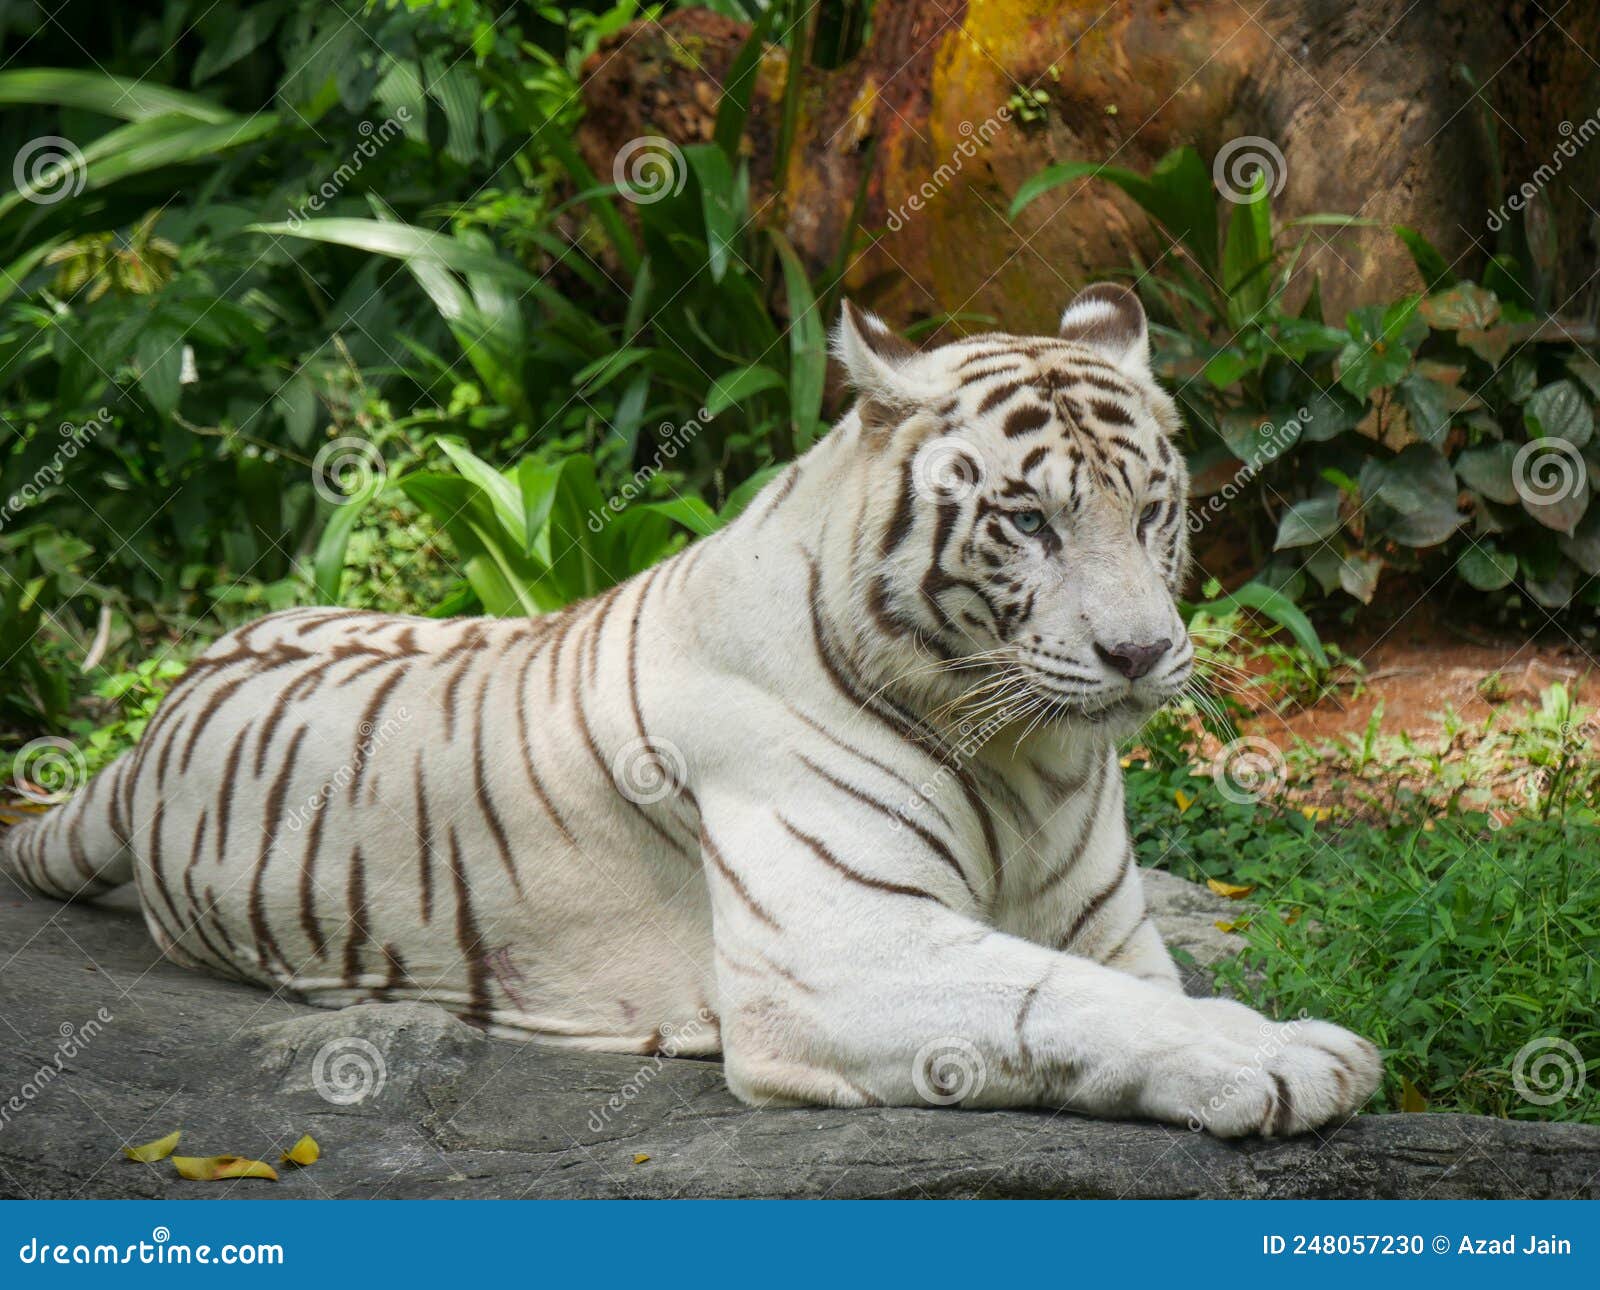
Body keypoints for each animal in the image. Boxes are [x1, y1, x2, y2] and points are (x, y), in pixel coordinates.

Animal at [2, 285, 1381, 1137]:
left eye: (1151, 510)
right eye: (1029, 520)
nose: (1142, 652)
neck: (1025, 761)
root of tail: (150, 727)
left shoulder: (1110, 930)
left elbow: (1139, 993)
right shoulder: (836, 949)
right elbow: (1071, 1004)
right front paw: (1293, 1058)